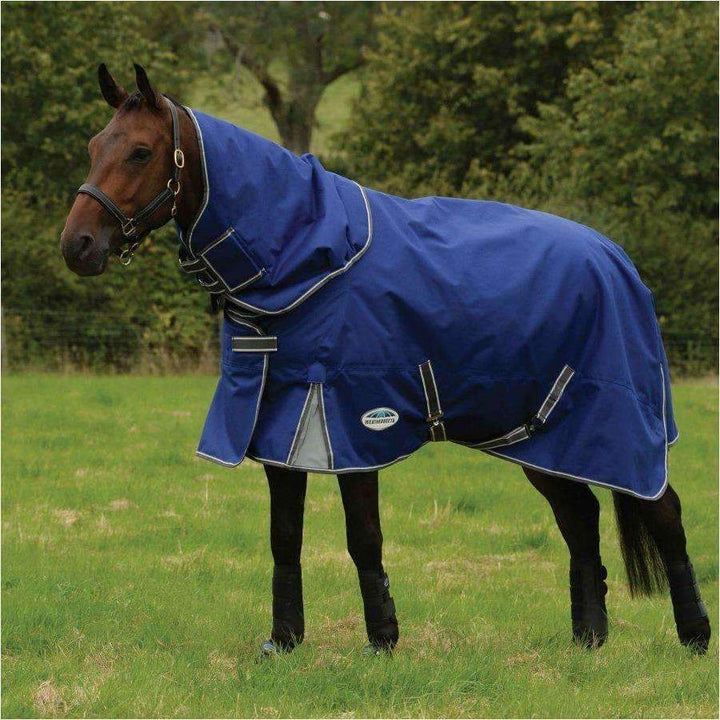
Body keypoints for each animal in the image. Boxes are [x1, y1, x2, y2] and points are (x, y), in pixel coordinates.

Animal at [61, 64, 711, 657]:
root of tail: (617, 258)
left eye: (141, 151)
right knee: (580, 521)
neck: (306, 260)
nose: (77, 246)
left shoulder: (352, 422)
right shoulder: (281, 426)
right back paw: (589, 641)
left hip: (619, 424)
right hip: (540, 436)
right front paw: (284, 641)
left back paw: (695, 638)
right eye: (94, 146)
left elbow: (364, 537)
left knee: (664, 511)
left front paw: (383, 641)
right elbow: (284, 537)